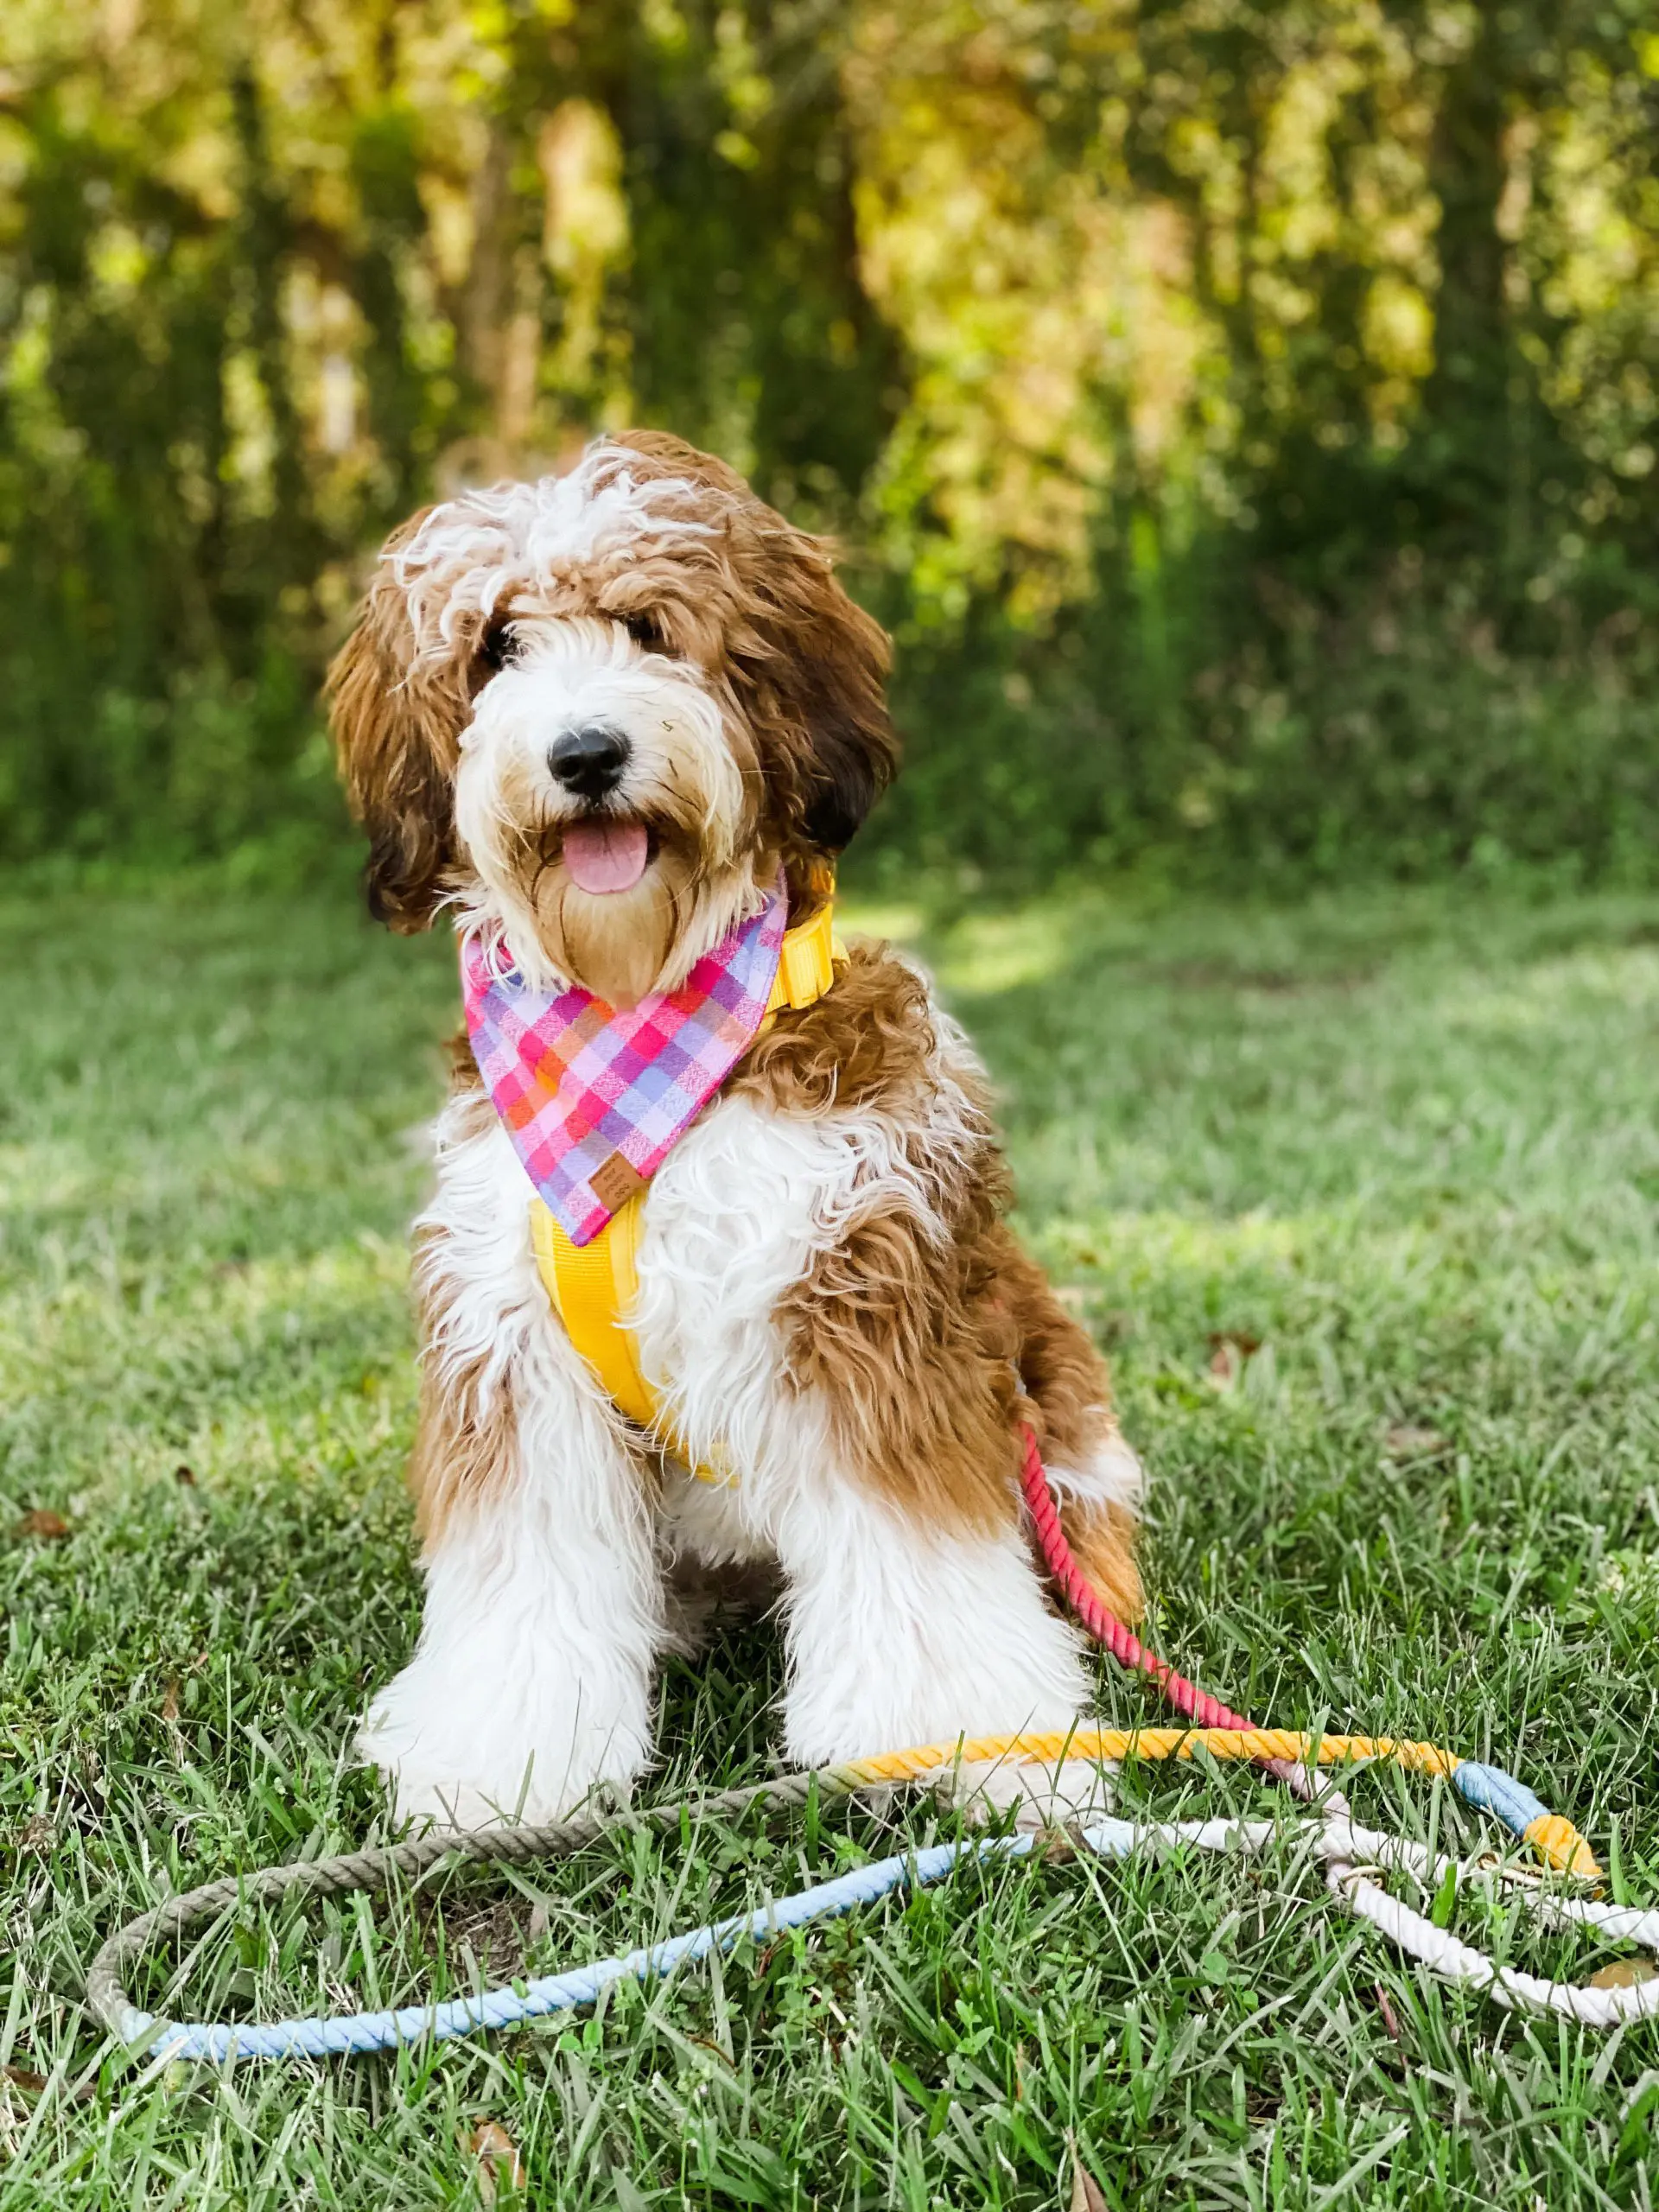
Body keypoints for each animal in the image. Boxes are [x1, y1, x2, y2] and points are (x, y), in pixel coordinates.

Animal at [332, 431, 1150, 1831]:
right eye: (498, 647)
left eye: (653, 629)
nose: (586, 752)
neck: (638, 1025)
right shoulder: (513, 1346)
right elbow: (526, 1571)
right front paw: (507, 1759)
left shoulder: (866, 1301)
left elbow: (916, 1552)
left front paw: (959, 1738)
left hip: (1058, 1415)